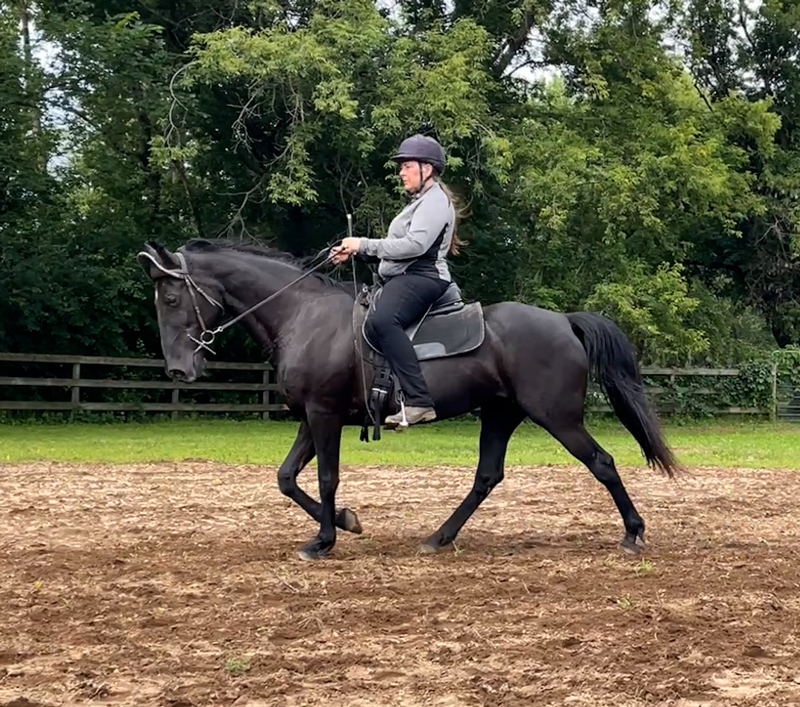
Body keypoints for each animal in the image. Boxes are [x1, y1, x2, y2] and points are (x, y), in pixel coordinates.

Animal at [137, 238, 680, 561]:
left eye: (171, 298)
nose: (179, 370)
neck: (302, 314)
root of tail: (564, 321)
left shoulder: (324, 414)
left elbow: (326, 478)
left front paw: (325, 540)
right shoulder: (311, 418)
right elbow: (287, 478)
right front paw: (345, 522)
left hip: (558, 417)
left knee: (602, 463)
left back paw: (633, 533)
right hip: (500, 414)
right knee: (487, 476)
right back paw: (439, 537)